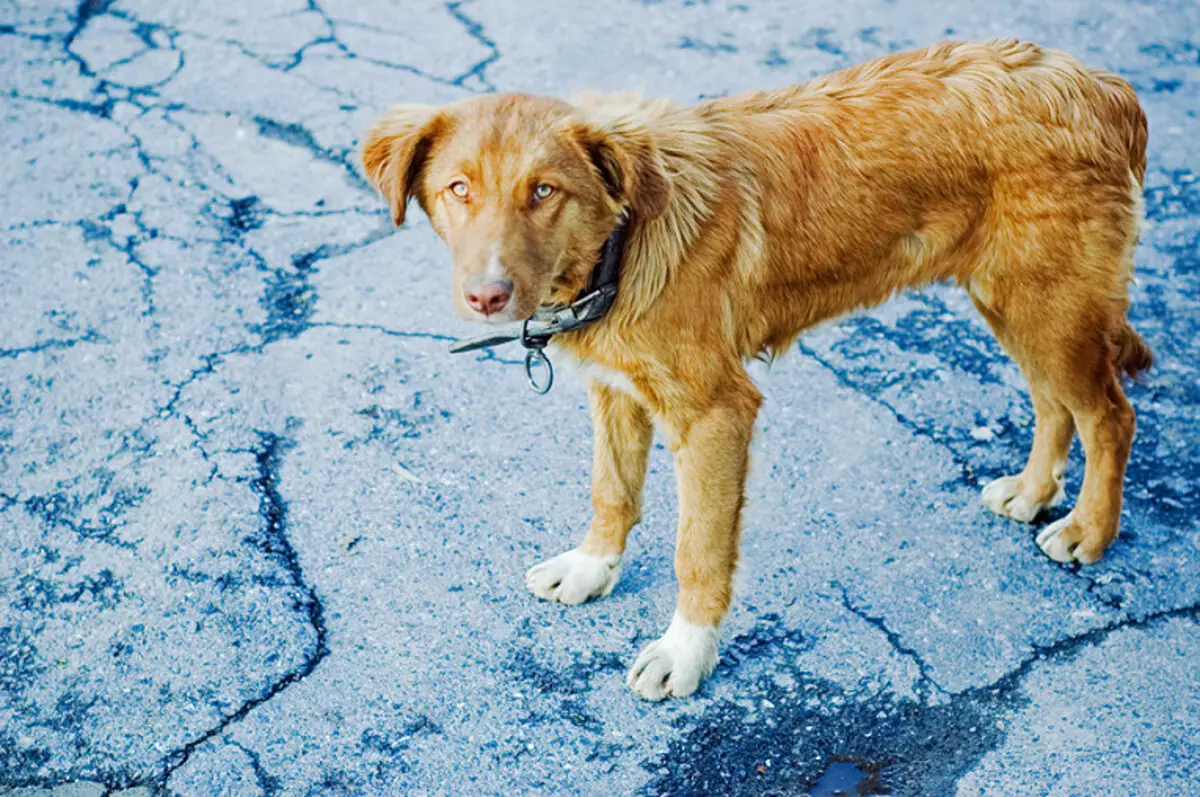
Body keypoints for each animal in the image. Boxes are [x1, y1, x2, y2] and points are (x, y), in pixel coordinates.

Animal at [362, 39, 1152, 696]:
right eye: (459, 189)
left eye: (544, 191)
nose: (486, 296)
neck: (628, 238)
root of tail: (1097, 84)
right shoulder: (617, 389)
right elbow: (610, 491)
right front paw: (592, 566)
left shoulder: (716, 414)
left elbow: (698, 549)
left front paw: (684, 652)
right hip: (1012, 301)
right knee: (1053, 403)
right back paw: (1033, 490)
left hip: (1048, 305)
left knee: (1110, 414)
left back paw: (1089, 530)